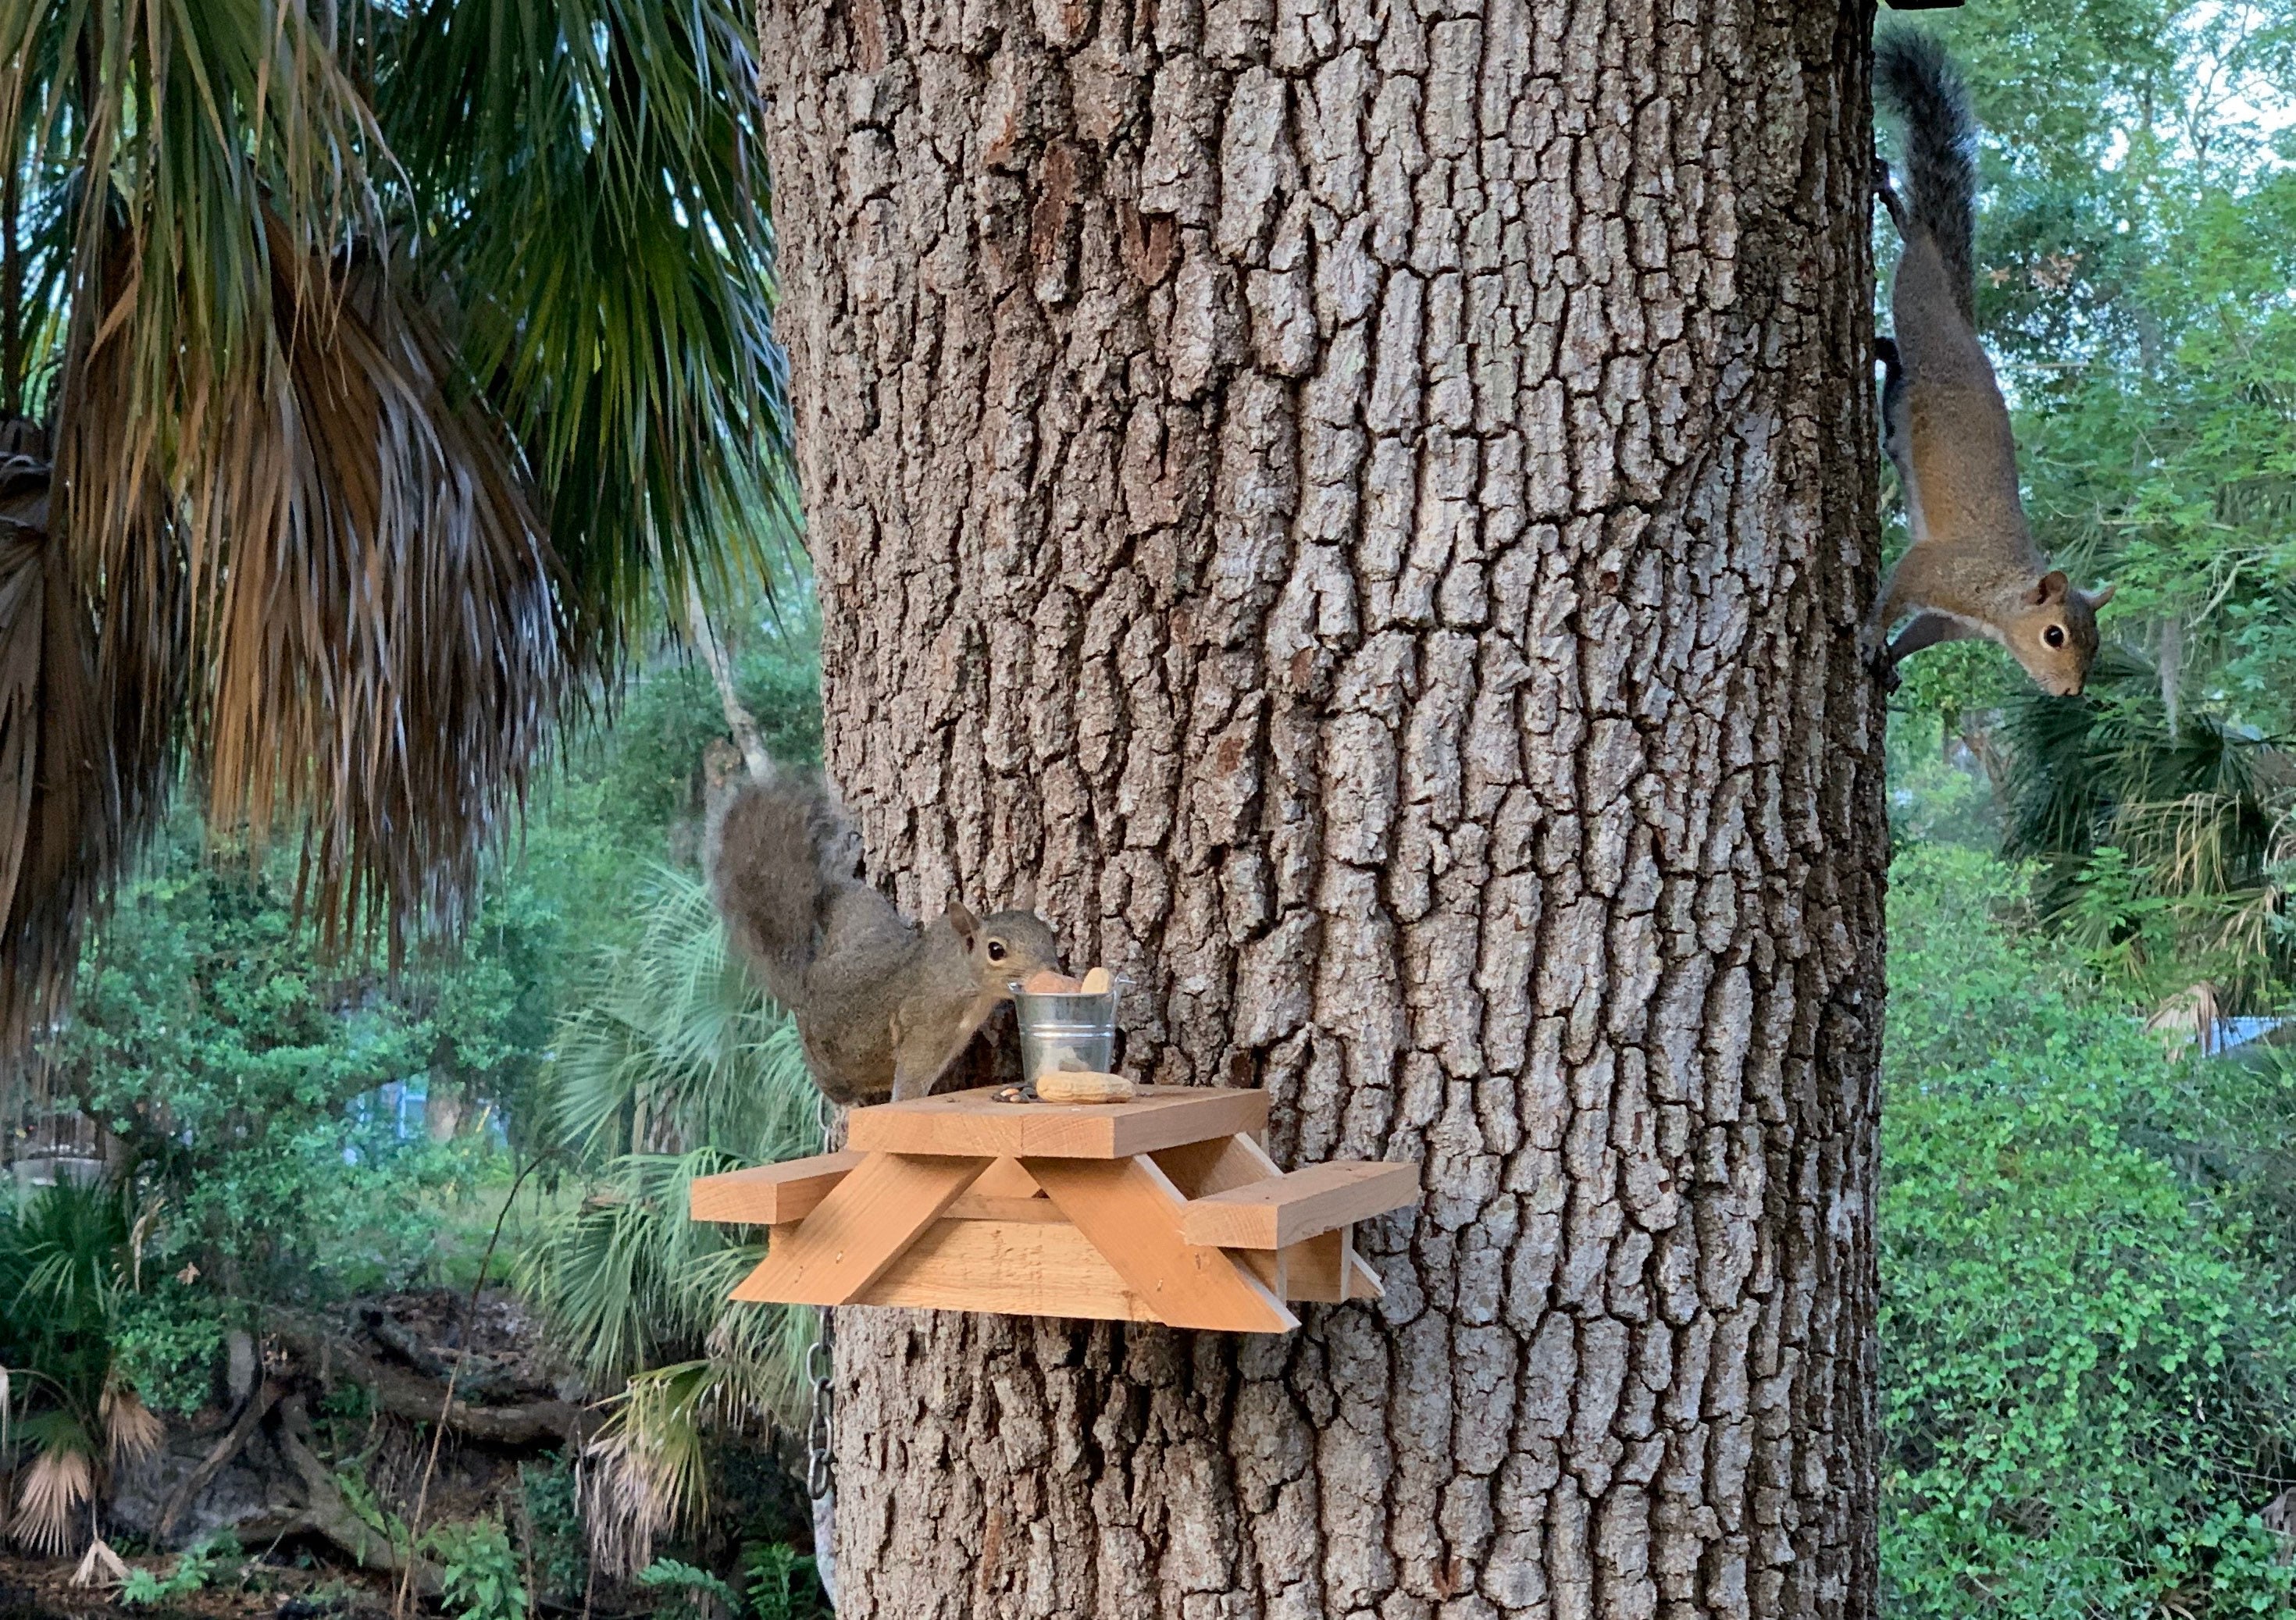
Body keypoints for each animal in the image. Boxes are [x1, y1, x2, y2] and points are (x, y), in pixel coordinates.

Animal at [703, 742, 1064, 1107]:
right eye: (996, 950)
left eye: (1047, 935)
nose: (1050, 970)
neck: (956, 971)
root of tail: (804, 991)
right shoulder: (927, 1027)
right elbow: (908, 1089)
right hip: (829, 1067)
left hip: (863, 917)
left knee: (840, 892)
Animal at [1866, 31, 2114, 696]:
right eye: (2054, 635)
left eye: (2095, 643)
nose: (2071, 692)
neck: (2000, 598)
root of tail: (1961, 323)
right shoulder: (1937, 569)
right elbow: (1894, 594)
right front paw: (1870, 635)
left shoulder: (1948, 621)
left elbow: (1918, 633)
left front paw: (1891, 664)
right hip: (1920, 302)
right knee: (1914, 258)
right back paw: (1899, 209)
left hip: (1909, 385)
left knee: (1895, 370)